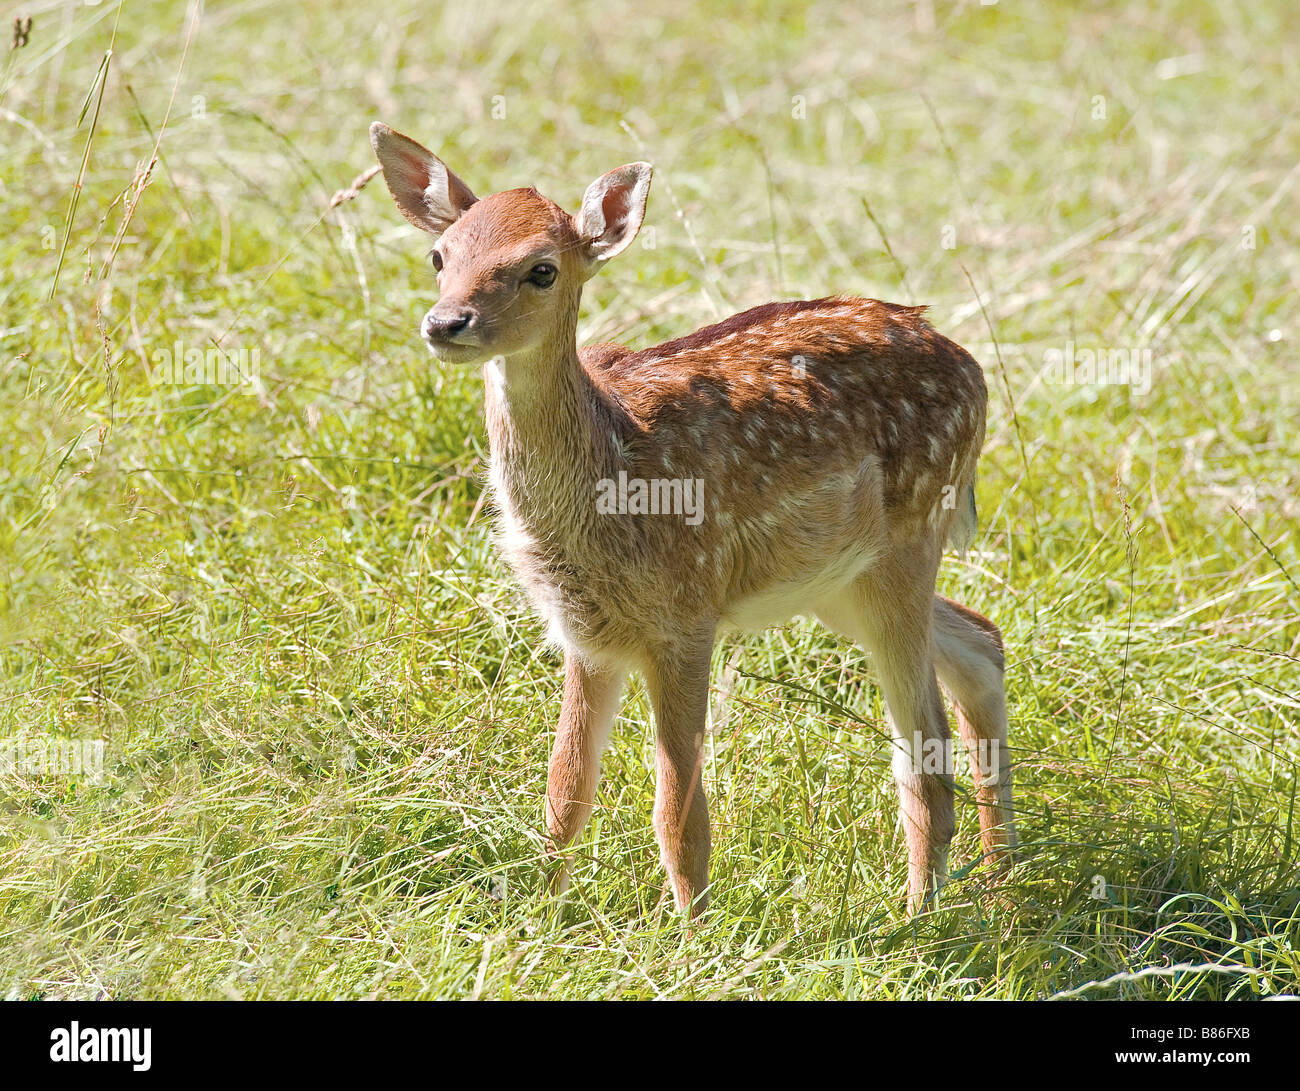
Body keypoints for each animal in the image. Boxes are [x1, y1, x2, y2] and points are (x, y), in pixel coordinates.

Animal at [369, 122, 1018, 918]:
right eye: (440, 256)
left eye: (541, 269)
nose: (446, 322)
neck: (612, 469)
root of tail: (973, 369)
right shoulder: (586, 633)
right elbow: (564, 792)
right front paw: (541, 919)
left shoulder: (684, 616)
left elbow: (678, 813)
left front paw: (690, 935)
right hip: (839, 581)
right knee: (982, 642)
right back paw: (999, 874)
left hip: (906, 542)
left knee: (924, 748)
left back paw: (919, 915)